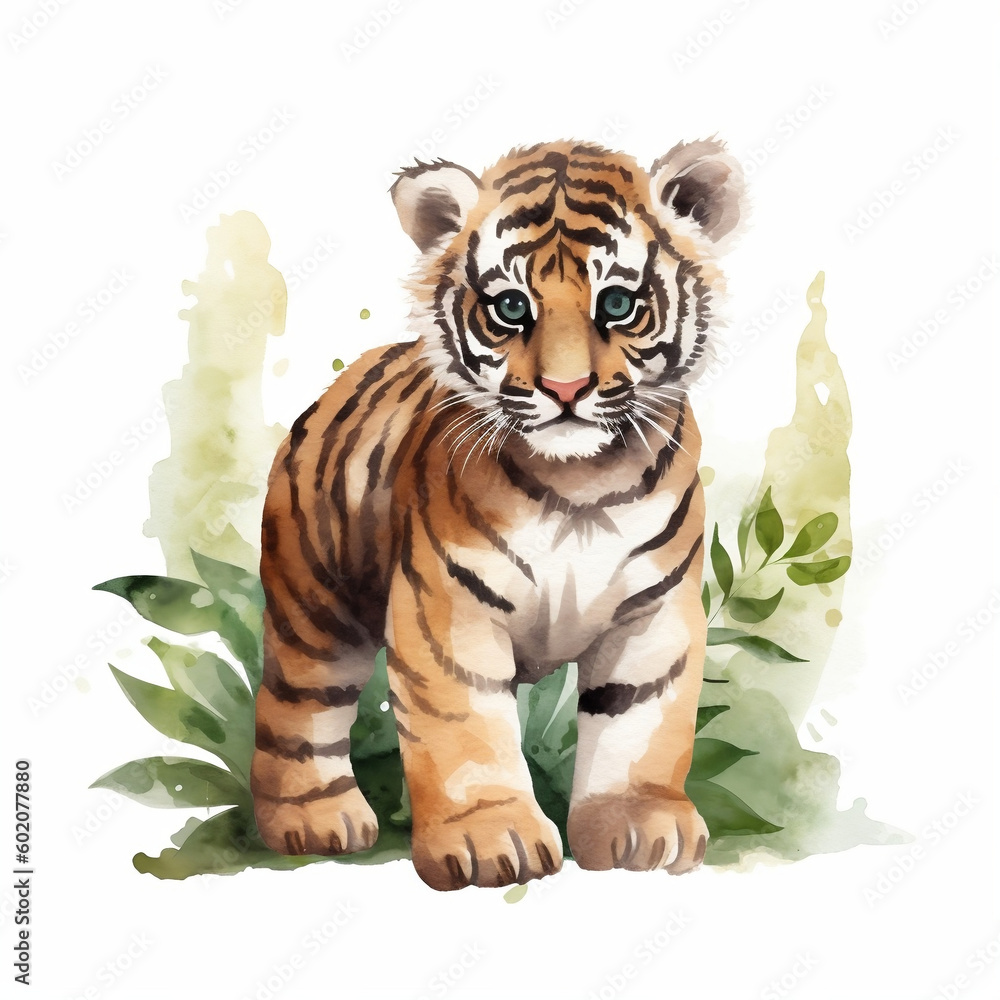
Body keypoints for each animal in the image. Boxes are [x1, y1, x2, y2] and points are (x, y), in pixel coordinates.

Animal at [250, 138, 746, 891]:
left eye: (618, 302)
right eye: (511, 307)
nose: (566, 389)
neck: (580, 485)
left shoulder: (655, 612)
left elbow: (640, 723)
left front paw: (639, 828)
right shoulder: (446, 607)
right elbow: (465, 725)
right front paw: (491, 840)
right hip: (316, 602)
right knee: (298, 705)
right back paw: (313, 822)